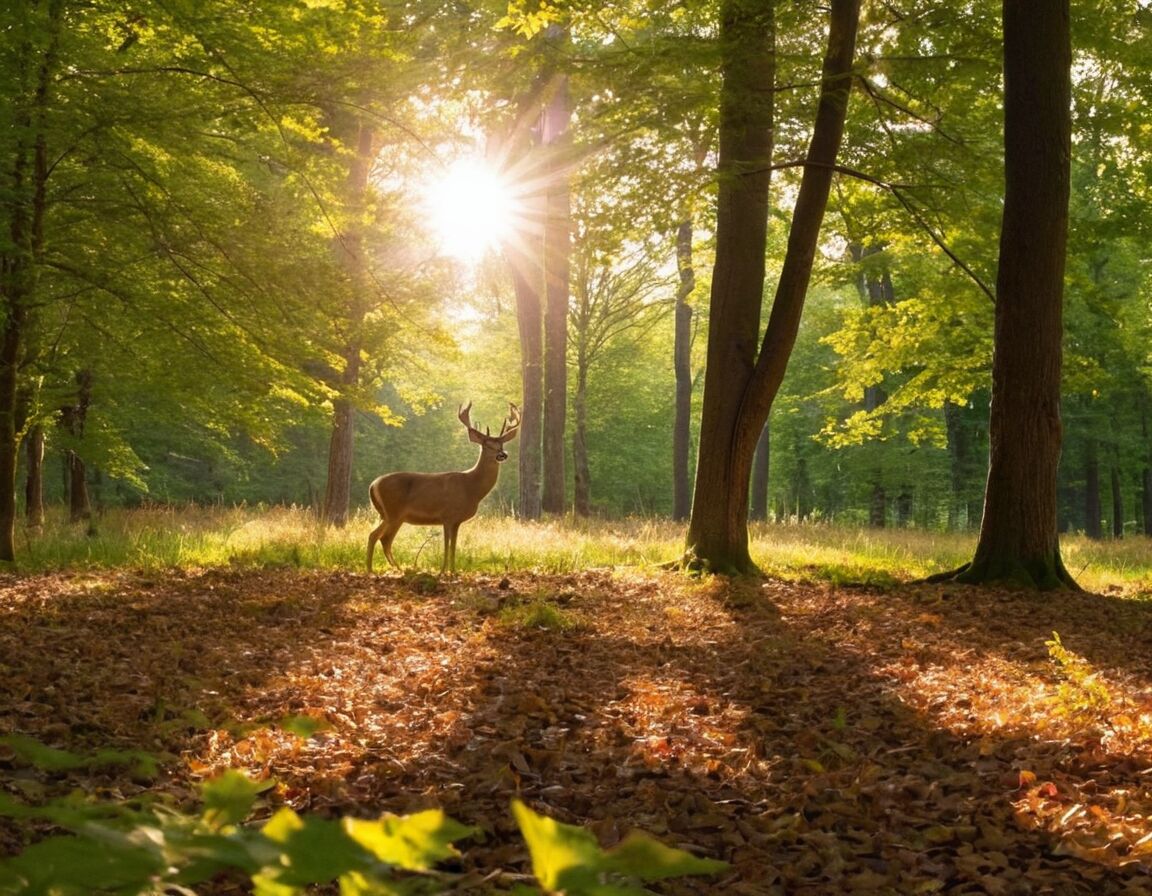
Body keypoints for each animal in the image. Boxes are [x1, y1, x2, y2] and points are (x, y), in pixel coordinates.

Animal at [366, 400, 520, 573]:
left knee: (385, 540)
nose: (502, 454)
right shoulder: (447, 515)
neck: (471, 489)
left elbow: (453, 546)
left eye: (501, 444)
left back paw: (399, 569)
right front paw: (443, 571)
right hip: (392, 512)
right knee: (374, 536)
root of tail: (373, 484)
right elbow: (446, 545)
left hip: (393, 516)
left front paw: (453, 571)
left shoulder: (457, 520)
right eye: (486, 445)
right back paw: (371, 570)